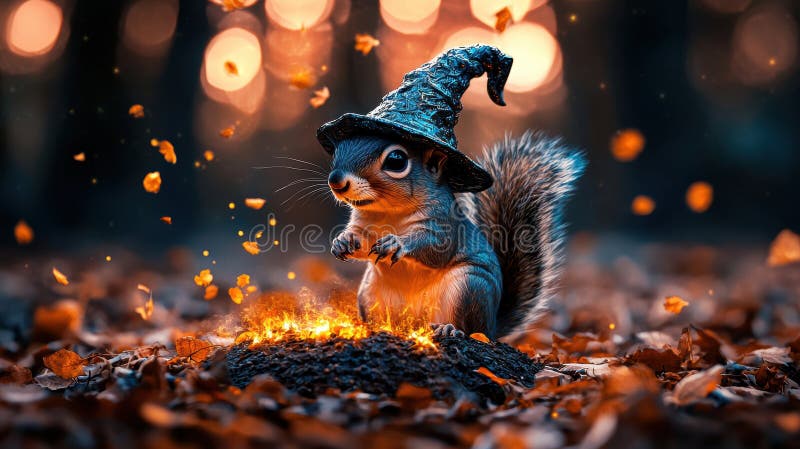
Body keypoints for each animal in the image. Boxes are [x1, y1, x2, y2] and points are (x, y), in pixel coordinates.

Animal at [316, 45, 585, 339]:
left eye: (397, 160)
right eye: (338, 149)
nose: (337, 181)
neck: (389, 212)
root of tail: (492, 326)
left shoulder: (444, 223)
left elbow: (436, 246)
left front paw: (397, 243)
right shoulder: (364, 223)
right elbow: (361, 239)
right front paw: (342, 241)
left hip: (469, 287)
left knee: (468, 329)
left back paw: (448, 328)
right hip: (369, 293)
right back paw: (374, 328)